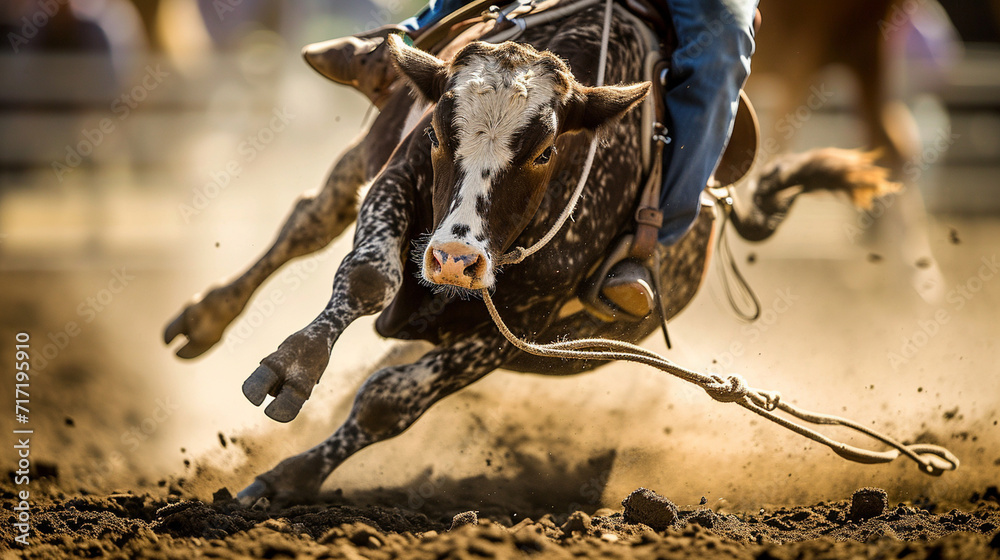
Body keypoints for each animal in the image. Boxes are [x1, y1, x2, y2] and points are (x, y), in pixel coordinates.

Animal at [163, 3, 898, 506]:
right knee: (310, 219)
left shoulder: (523, 326)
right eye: (440, 130)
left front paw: (288, 478)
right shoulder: (396, 180)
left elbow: (388, 400)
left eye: (545, 150)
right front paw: (291, 369)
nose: (454, 259)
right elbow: (369, 274)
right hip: (361, 162)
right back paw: (202, 321)